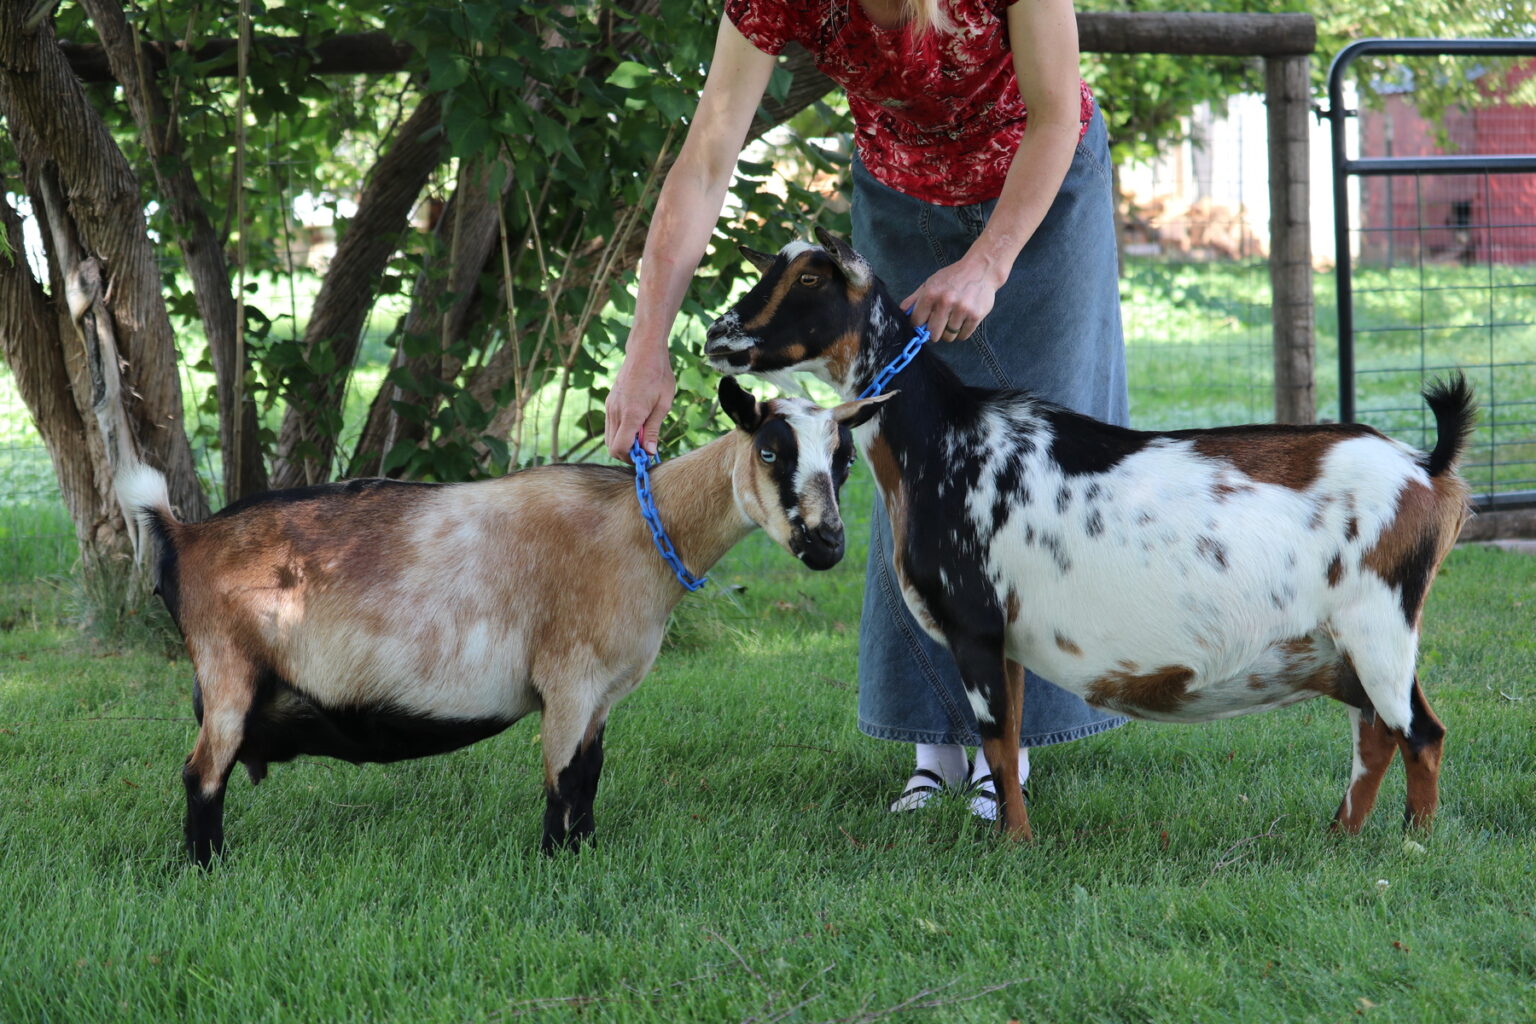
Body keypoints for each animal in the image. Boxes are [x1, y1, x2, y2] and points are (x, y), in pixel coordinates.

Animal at [116, 377, 888, 865]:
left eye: (845, 459)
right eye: (770, 450)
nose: (827, 544)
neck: (640, 532)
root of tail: (184, 535)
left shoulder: (600, 696)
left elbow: (590, 775)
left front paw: (585, 855)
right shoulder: (569, 680)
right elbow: (564, 781)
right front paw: (556, 867)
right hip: (228, 670)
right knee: (201, 774)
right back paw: (205, 867)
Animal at [704, 229, 1475, 841]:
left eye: (810, 278)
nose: (716, 336)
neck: (945, 440)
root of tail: (1427, 466)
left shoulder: (975, 623)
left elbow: (998, 740)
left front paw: (1014, 847)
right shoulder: (1004, 638)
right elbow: (1008, 736)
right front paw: (1012, 835)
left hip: (1378, 622)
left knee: (1419, 731)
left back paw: (1412, 845)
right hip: (1340, 645)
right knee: (1377, 731)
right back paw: (1342, 837)